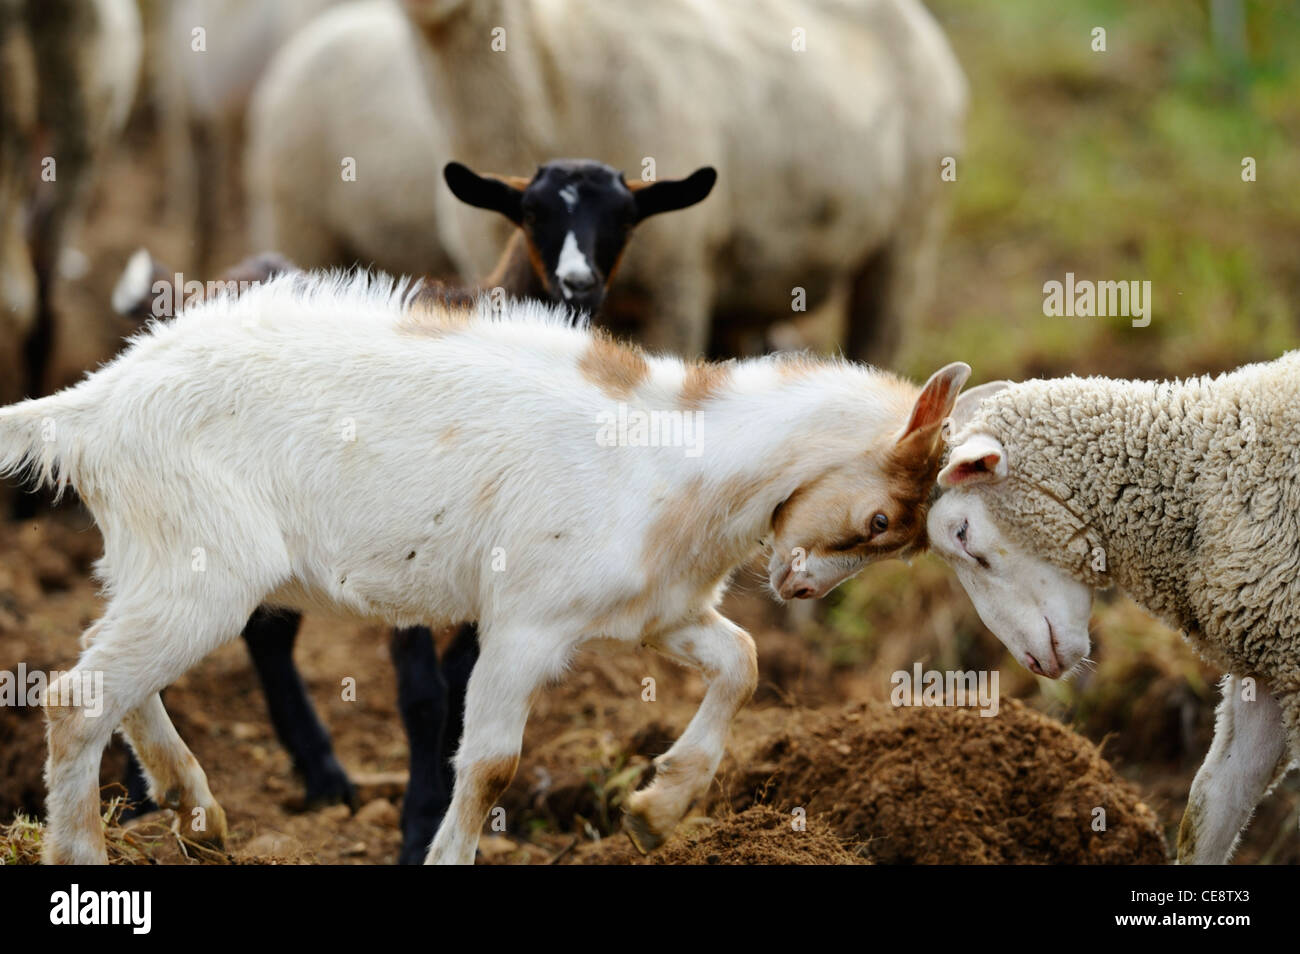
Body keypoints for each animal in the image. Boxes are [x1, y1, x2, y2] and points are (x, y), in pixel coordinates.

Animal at [0, 267, 970, 864]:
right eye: (882, 518)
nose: (797, 587)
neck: (681, 458)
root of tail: (90, 406)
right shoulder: (526, 621)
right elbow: (494, 762)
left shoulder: (653, 610)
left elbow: (744, 659)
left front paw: (655, 810)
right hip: (199, 562)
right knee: (78, 694)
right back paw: (85, 848)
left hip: (159, 556)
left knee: (116, 675)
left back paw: (195, 809)